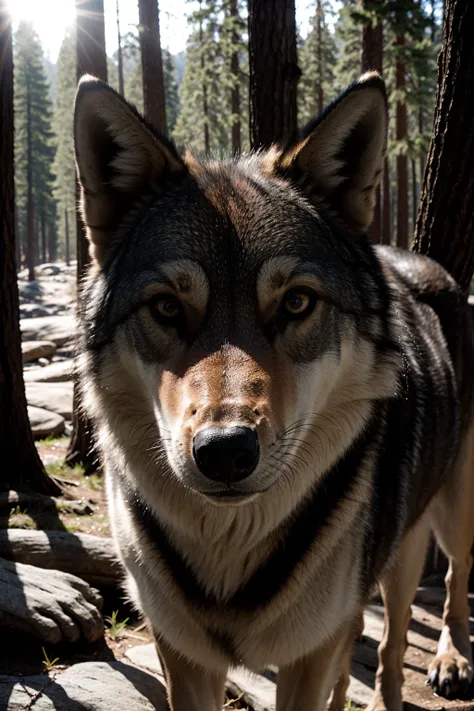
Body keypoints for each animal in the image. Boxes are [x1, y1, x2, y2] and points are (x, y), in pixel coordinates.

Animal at [74, 71, 474, 711]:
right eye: (167, 307)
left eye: (297, 303)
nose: (225, 451)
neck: (230, 550)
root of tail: (414, 258)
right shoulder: (182, 651)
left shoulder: (306, 656)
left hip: (446, 513)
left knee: (432, 601)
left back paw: (451, 659)